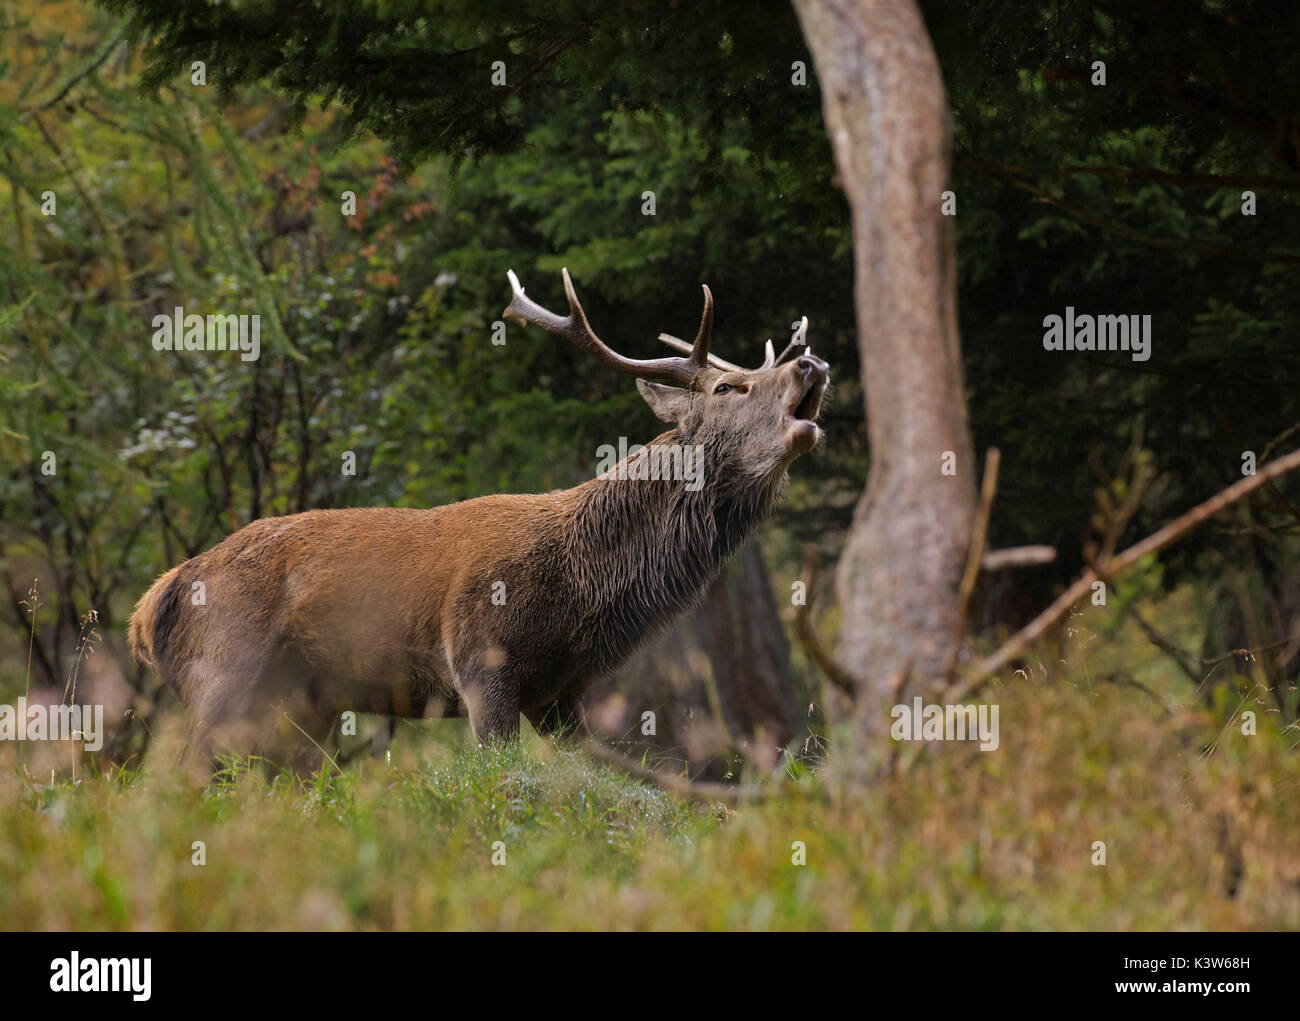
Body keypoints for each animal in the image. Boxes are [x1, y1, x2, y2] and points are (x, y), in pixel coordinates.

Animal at [128, 269, 830, 768]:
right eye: (727, 388)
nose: (812, 362)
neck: (584, 597)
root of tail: (150, 605)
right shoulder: (479, 663)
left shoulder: (562, 694)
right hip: (222, 675)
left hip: (300, 708)